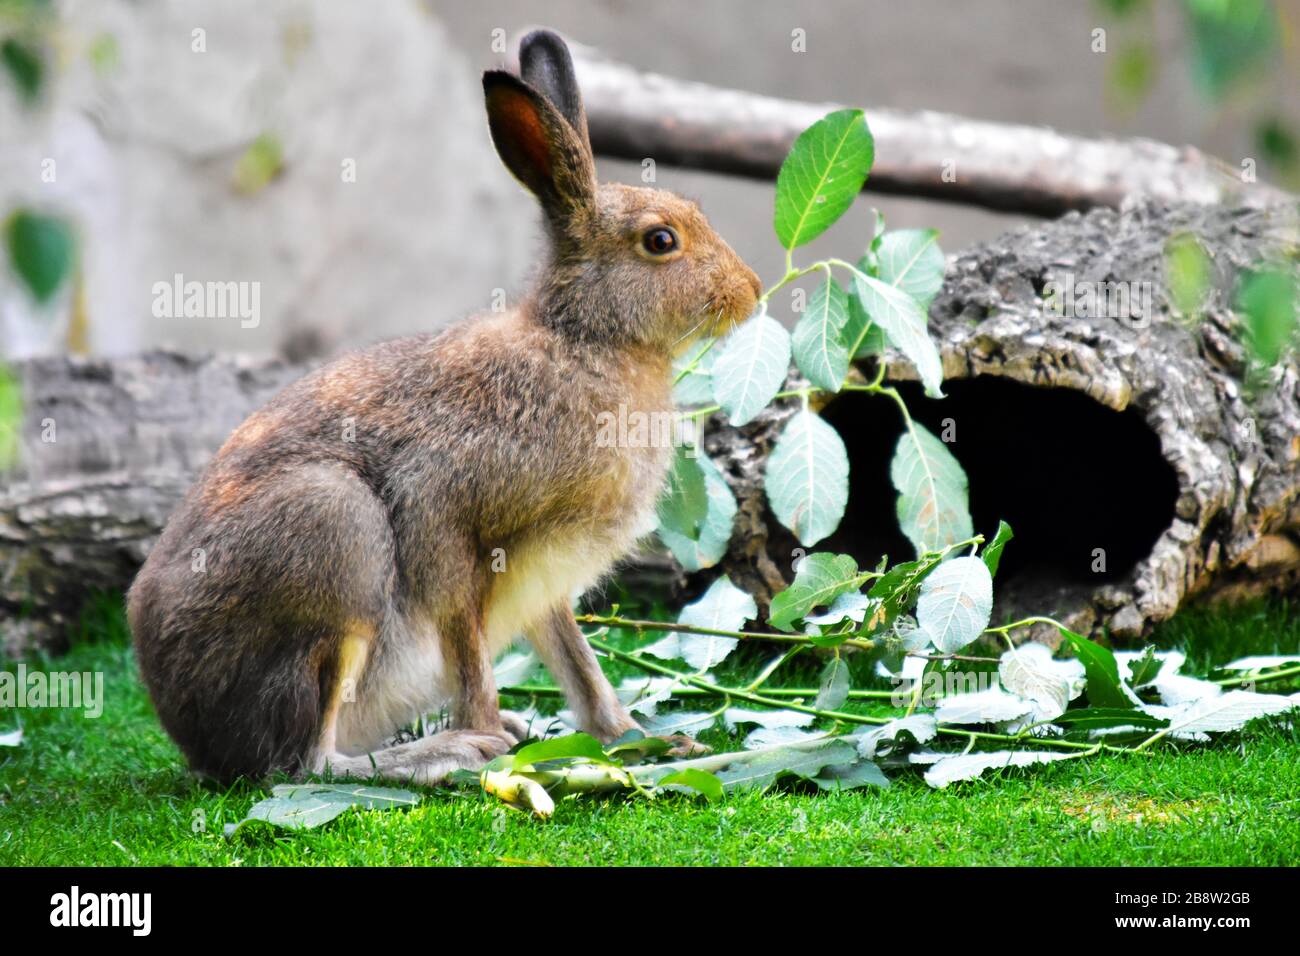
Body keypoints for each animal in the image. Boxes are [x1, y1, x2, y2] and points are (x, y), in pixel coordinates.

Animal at [127, 29, 761, 785]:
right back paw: (454, 751)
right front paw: (496, 750)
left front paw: (639, 741)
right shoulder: (448, 524)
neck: (583, 340)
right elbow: (471, 654)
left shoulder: (544, 581)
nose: (753, 290)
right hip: (336, 536)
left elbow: (579, 666)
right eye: (661, 240)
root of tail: (191, 732)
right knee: (307, 761)